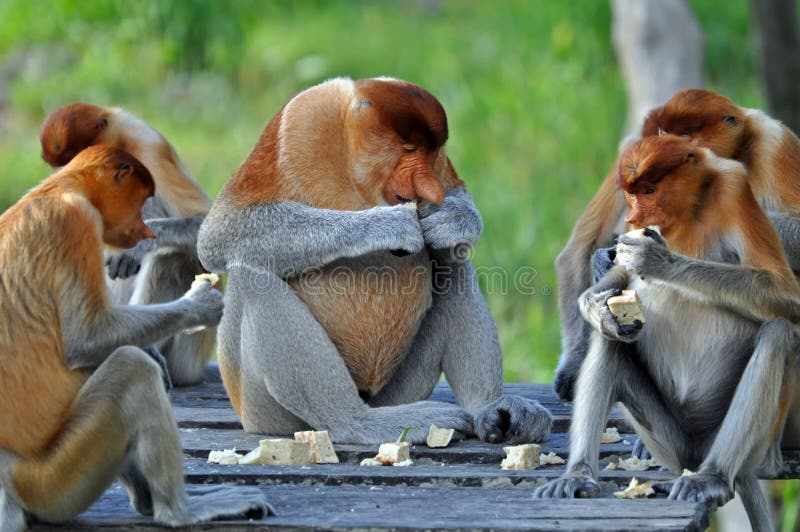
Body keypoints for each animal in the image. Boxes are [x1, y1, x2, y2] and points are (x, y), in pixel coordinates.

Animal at [0, 145, 268, 530]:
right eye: (141, 199)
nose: (141, 229)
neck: (60, 186)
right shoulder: (75, 220)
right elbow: (86, 338)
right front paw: (199, 305)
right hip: (50, 481)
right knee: (133, 369)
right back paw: (180, 511)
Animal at [39, 103, 214, 386]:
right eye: (64, 164)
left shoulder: (150, 146)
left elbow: (206, 225)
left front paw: (132, 250)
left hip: (188, 359)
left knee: (171, 259)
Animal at [196, 77, 553, 445]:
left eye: (431, 153)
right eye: (409, 149)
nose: (429, 189)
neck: (353, 172)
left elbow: (456, 202)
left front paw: (453, 219)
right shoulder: (299, 120)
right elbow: (220, 233)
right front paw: (390, 225)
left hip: (397, 390)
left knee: (452, 265)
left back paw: (492, 408)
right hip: (265, 411)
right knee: (252, 276)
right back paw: (357, 421)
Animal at [534, 134, 800, 532]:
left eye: (649, 189)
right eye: (630, 195)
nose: (633, 217)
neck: (690, 211)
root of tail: (695, 453)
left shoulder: (735, 191)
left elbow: (783, 292)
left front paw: (657, 260)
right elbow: (616, 285)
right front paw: (596, 305)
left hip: (749, 445)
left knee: (778, 333)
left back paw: (711, 478)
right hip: (669, 442)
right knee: (611, 341)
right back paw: (578, 476)